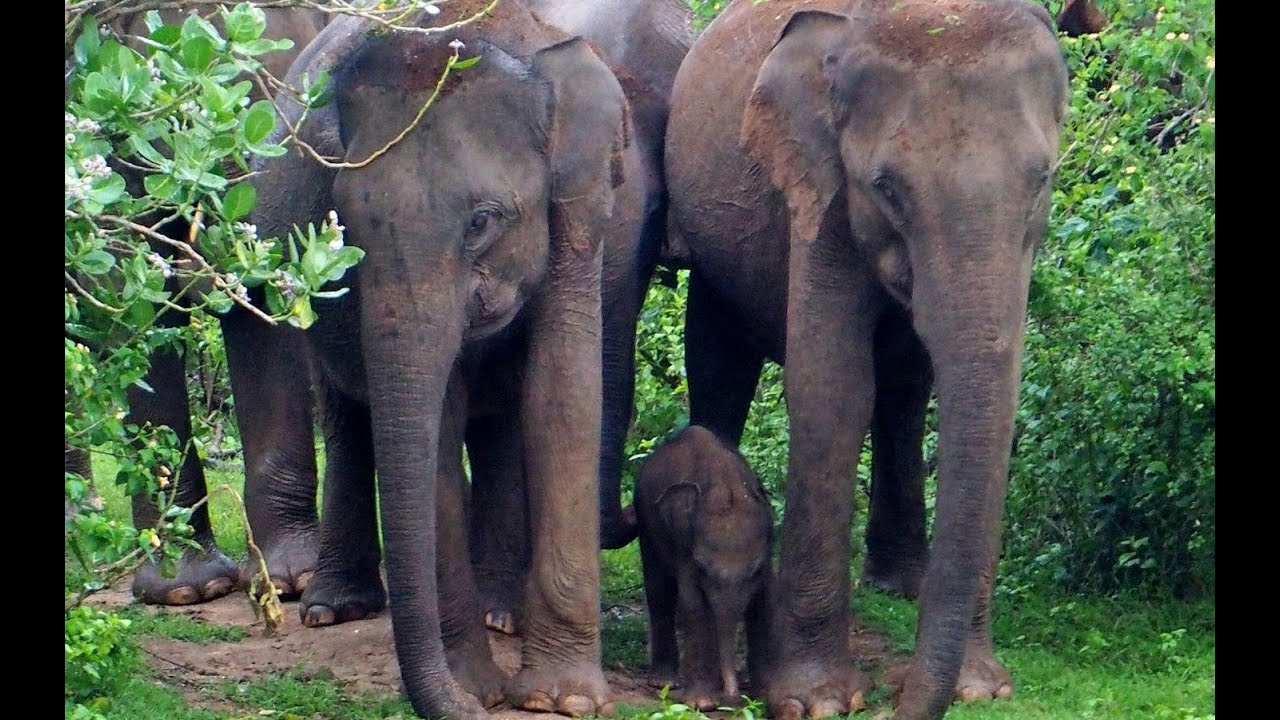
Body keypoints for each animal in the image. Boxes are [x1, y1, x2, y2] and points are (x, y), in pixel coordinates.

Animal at [250, 2, 645, 716]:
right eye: (342, 226)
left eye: (482, 221)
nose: (466, 704)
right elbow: (436, 418)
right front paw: (476, 689)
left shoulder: (580, 216)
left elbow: (560, 394)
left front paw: (563, 700)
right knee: (347, 410)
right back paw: (332, 610)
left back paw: (503, 615)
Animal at [634, 425, 772, 711]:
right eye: (701, 568)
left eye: (755, 571)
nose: (733, 698)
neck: (726, 483)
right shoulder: (684, 542)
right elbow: (694, 604)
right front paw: (703, 703)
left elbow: (763, 601)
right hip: (646, 519)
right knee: (660, 591)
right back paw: (664, 682)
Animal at [663, 1, 1070, 718]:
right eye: (886, 187)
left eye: (1043, 179)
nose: (900, 695)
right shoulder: (818, 188)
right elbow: (833, 385)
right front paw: (817, 701)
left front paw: (980, 687)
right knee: (720, 360)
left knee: (905, 394)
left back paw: (898, 583)